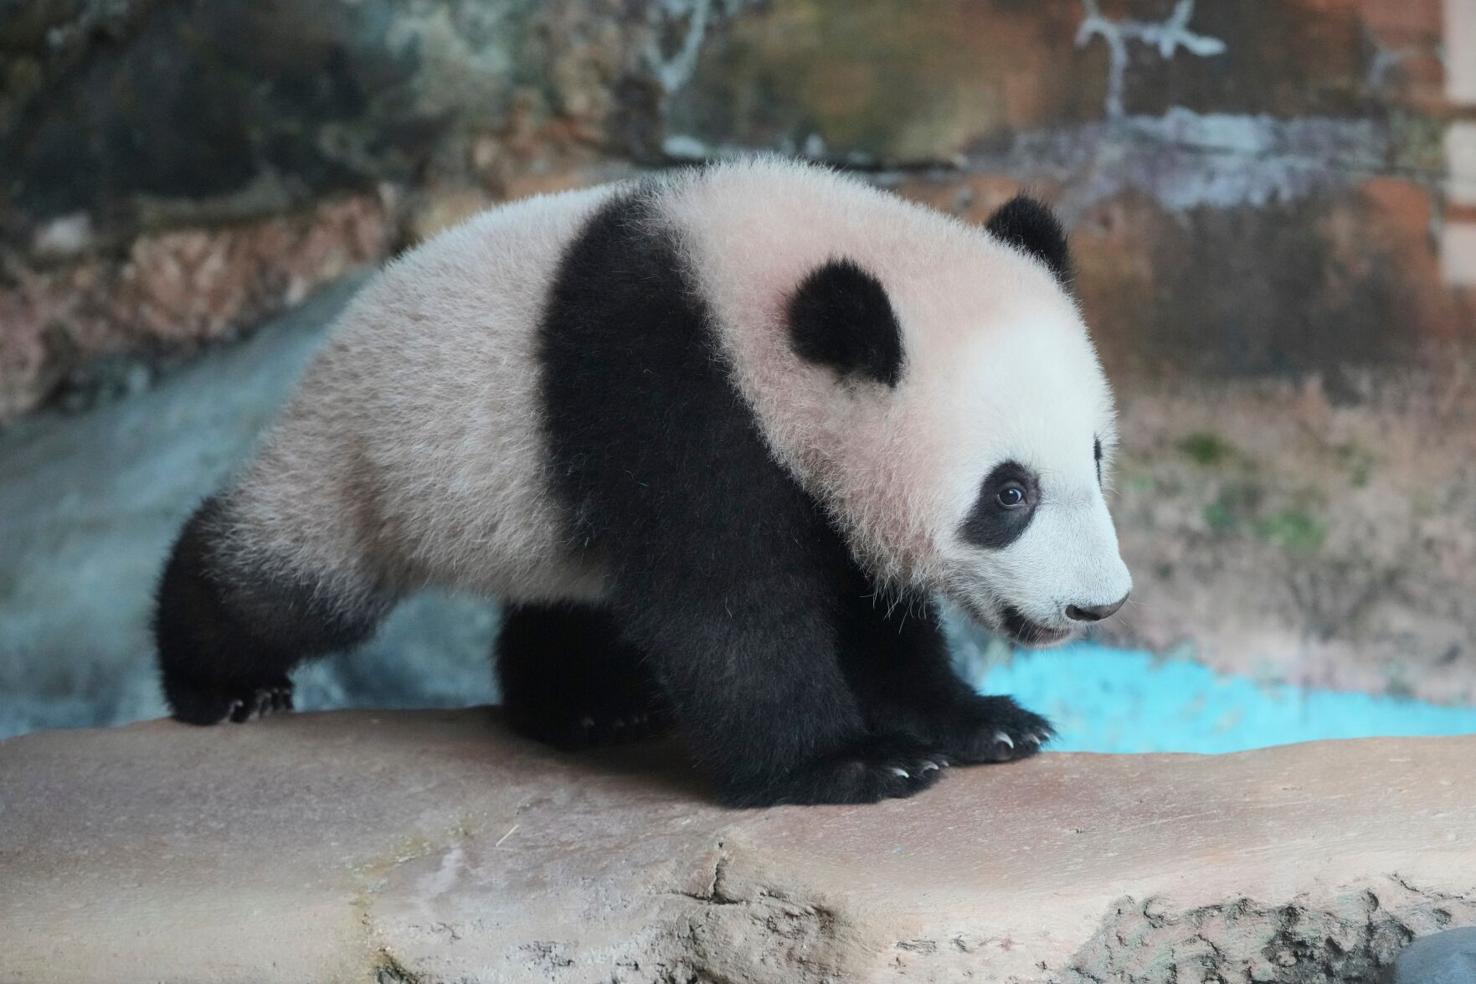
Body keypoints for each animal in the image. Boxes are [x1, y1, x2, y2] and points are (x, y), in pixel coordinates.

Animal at [154, 157, 1132, 807]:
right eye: (1009, 493)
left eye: (1093, 455)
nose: (1097, 604)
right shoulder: (668, 388)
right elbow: (728, 604)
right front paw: (845, 762)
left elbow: (865, 607)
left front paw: (981, 722)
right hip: (369, 460)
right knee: (292, 581)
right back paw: (222, 685)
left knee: (568, 601)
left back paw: (586, 710)